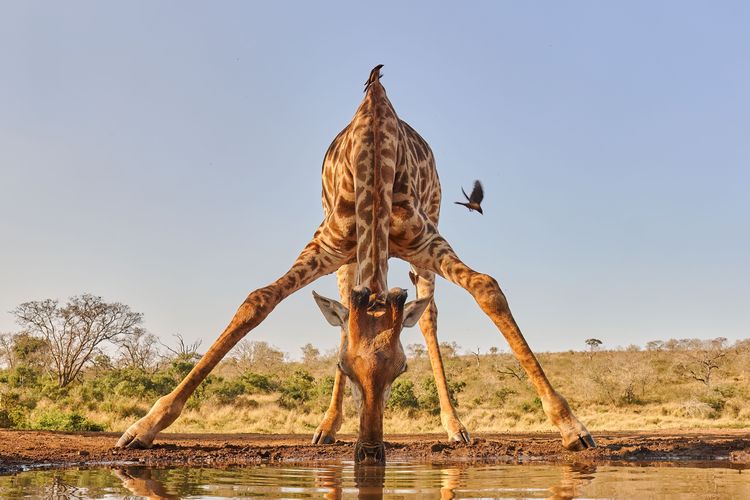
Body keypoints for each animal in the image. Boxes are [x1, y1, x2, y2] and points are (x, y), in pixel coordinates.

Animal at [116, 65, 595, 463]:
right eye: (345, 367)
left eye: (401, 369)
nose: (369, 452)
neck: (374, 155)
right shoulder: (326, 244)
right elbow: (258, 300)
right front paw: (143, 428)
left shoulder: (425, 238)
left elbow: (487, 287)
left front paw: (571, 426)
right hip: (346, 260)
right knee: (344, 307)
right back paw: (326, 428)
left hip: (427, 232)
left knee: (428, 316)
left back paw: (455, 427)